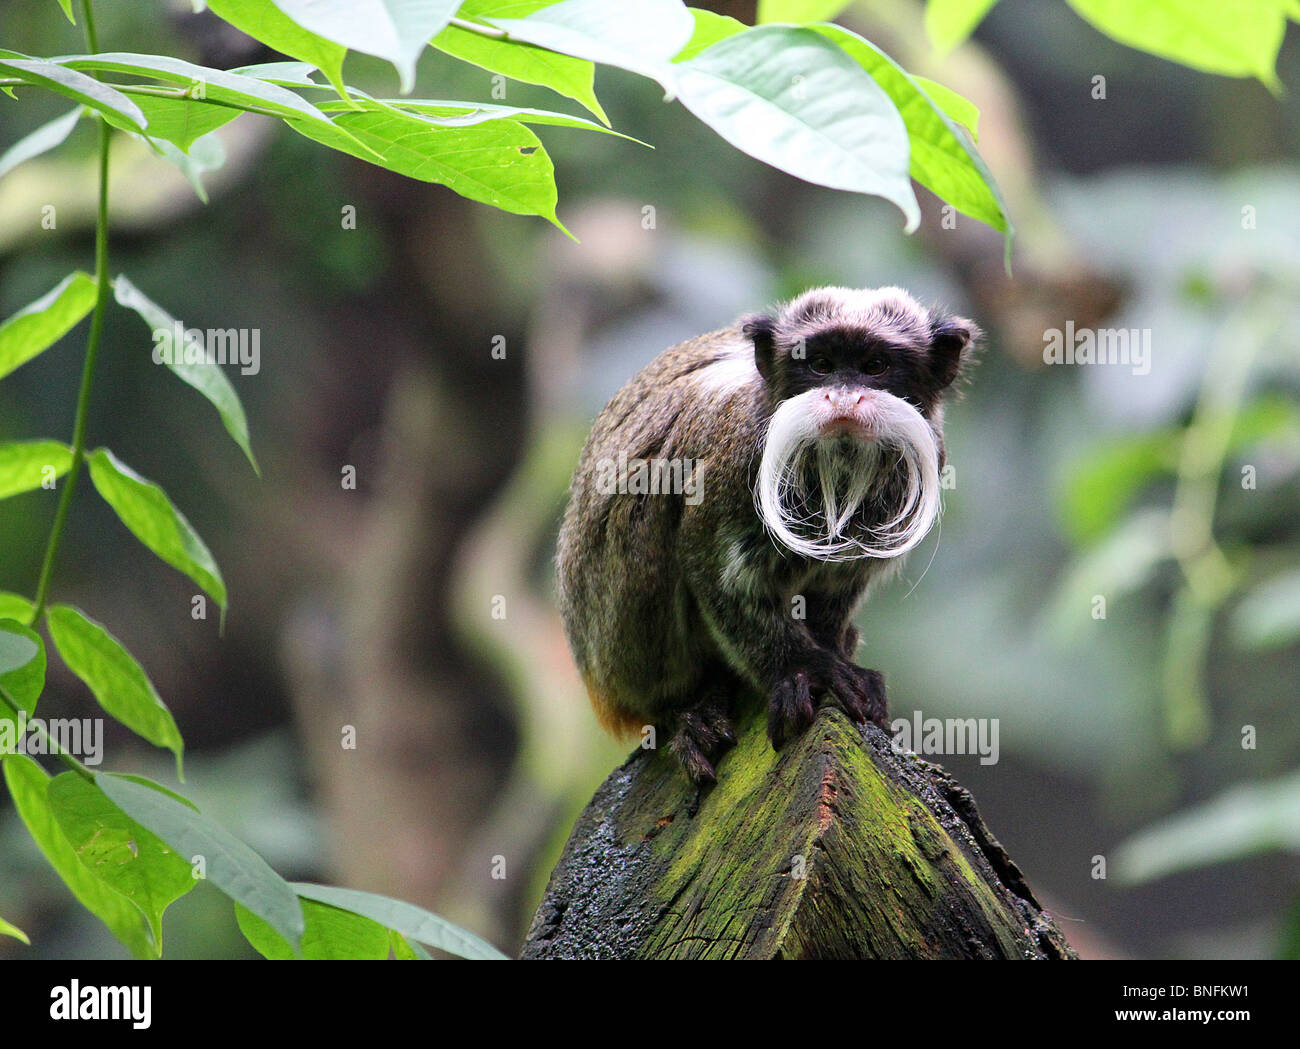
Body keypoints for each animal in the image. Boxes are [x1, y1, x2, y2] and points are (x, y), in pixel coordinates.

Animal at [556, 286, 978, 784]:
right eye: (820, 365)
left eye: (875, 366)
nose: (843, 398)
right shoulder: (736, 458)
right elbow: (713, 571)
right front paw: (803, 669)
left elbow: (839, 585)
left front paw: (837, 655)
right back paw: (685, 710)